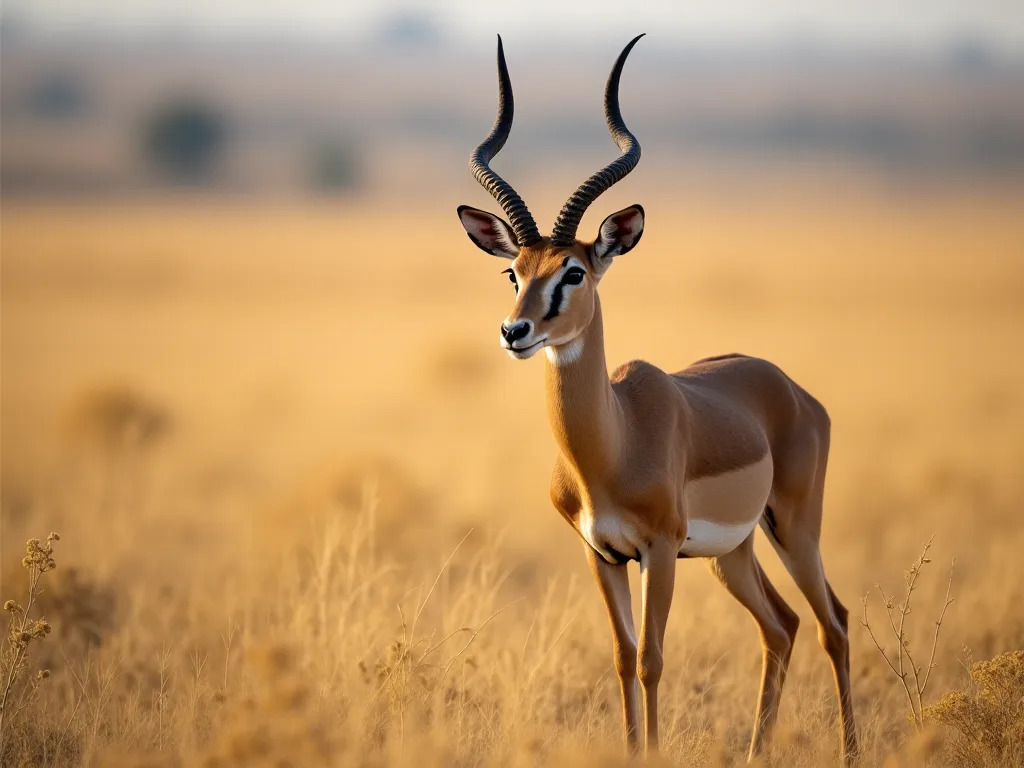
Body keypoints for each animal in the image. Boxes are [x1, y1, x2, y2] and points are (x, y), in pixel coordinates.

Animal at [457, 35, 858, 762]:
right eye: (513, 271)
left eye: (574, 271)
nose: (515, 332)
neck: (612, 447)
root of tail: (793, 390)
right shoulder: (603, 554)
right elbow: (621, 658)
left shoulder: (662, 552)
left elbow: (651, 659)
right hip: (734, 552)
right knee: (781, 626)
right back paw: (756, 750)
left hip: (794, 527)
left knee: (832, 622)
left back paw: (850, 751)